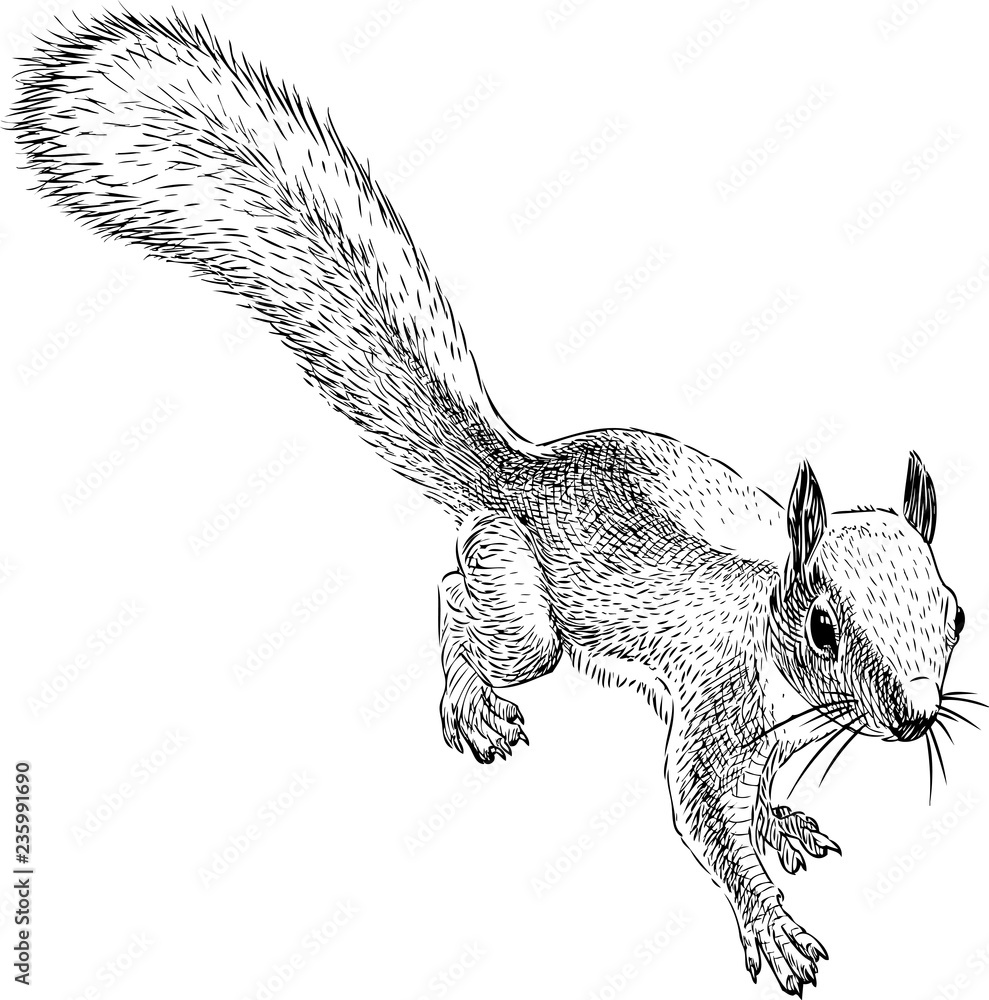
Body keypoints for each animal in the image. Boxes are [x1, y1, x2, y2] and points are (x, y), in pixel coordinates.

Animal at [9, 11, 969, 995]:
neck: (776, 655)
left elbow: (755, 800)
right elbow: (705, 821)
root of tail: (518, 477)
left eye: (956, 614)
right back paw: (470, 707)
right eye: (821, 627)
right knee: (453, 598)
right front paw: (769, 924)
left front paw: (777, 825)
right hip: (523, 610)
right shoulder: (715, 702)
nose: (914, 718)